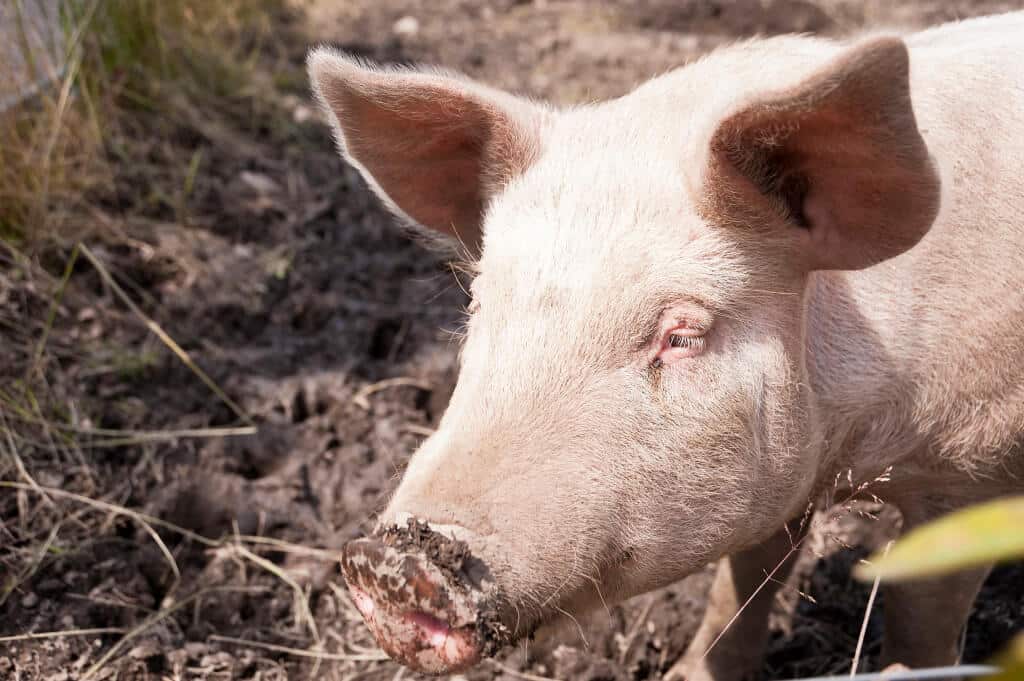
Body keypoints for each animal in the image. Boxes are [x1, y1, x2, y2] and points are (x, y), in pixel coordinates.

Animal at [309, 11, 1024, 679]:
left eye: (681, 335)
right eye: (480, 303)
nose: (390, 560)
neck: (848, 454)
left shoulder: (970, 476)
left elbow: (919, 624)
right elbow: (747, 577)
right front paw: (692, 670)